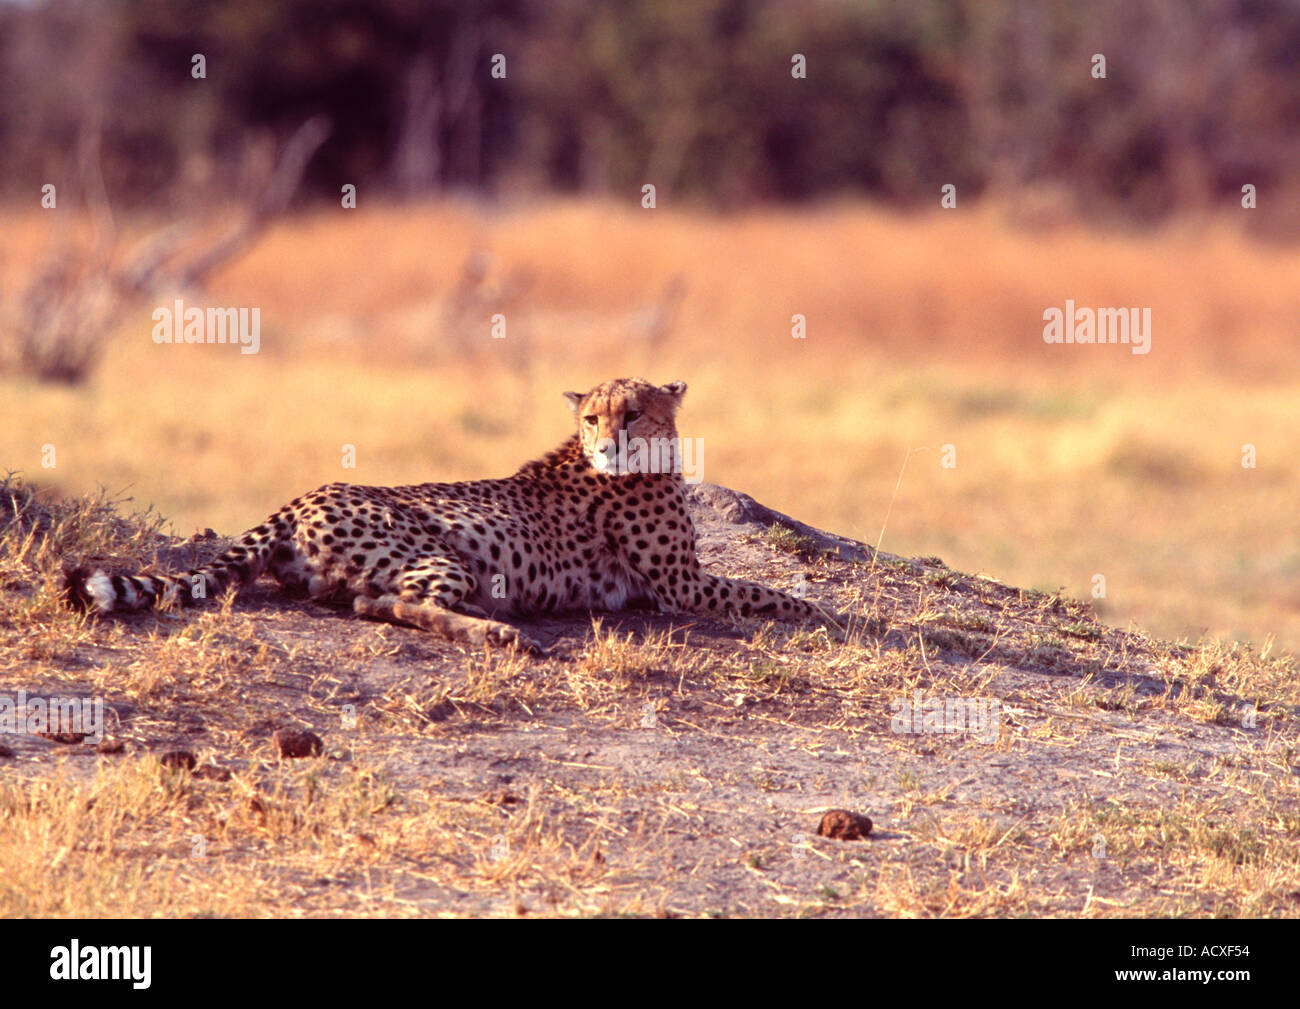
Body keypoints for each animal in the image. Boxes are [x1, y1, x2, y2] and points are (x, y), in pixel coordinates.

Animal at [62, 378, 842, 652]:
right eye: (592, 416)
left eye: (633, 412)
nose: (610, 440)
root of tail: (300, 496)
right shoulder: (681, 585)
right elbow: (768, 592)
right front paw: (831, 615)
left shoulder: (676, 583)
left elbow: (765, 591)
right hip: (443, 551)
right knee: (391, 604)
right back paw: (499, 632)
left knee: (369, 603)